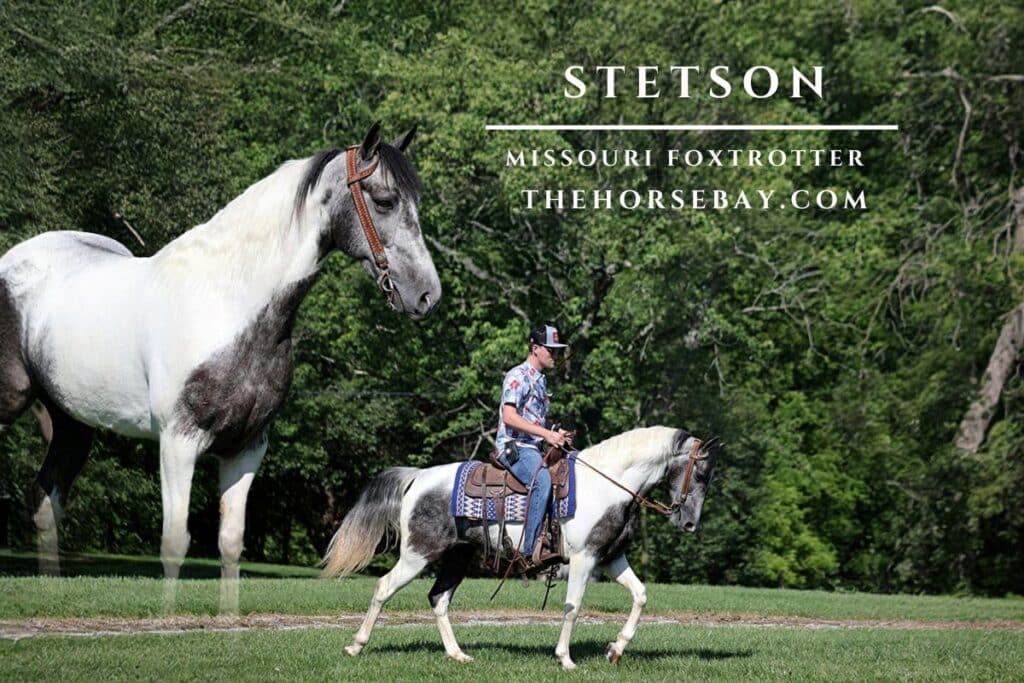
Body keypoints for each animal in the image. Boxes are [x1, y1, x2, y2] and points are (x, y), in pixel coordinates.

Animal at [0, 122, 441, 611]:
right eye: (383, 201)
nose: (427, 295)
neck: (229, 304)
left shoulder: (246, 448)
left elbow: (231, 540)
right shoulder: (178, 442)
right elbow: (175, 541)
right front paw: (167, 618)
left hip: (73, 424)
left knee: (45, 499)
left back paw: (49, 592)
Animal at [322, 426, 719, 669]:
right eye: (700, 474)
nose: (689, 524)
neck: (609, 485)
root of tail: (418, 476)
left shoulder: (610, 558)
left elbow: (640, 596)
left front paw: (615, 650)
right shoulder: (583, 559)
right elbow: (573, 607)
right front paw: (565, 659)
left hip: (457, 557)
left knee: (439, 599)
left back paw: (458, 655)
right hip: (418, 554)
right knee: (383, 587)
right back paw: (355, 645)